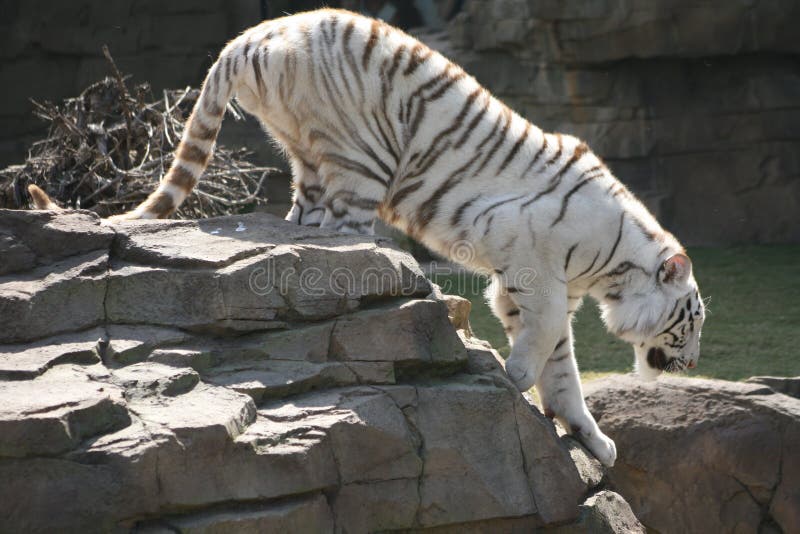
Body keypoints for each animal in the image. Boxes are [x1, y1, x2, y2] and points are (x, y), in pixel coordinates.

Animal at [29, 8, 706, 467]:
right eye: (691, 322)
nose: (693, 363)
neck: (614, 268)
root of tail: (248, 36)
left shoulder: (534, 287)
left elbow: (563, 368)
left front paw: (592, 438)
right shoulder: (537, 274)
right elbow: (544, 347)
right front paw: (512, 381)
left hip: (307, 151)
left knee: (306, 212)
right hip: (365, 157)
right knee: (341, 235)